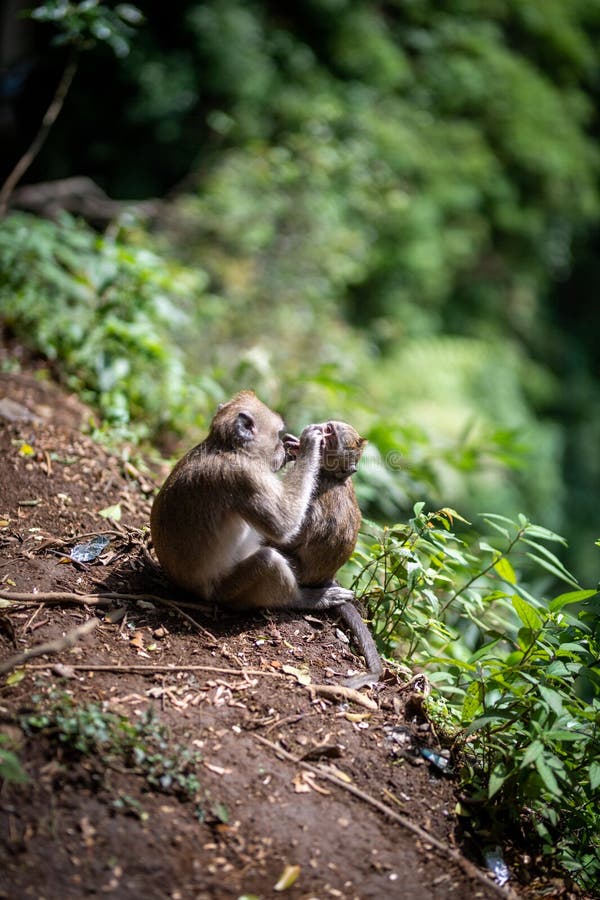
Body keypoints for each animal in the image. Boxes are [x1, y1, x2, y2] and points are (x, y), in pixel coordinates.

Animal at [150, 391, 354, 612]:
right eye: (277, 434)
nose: (283, 445)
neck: (229, 448)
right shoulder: (245, 477)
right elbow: (282, 525)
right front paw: (310, 446)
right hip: (228, 591)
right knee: (268, 561)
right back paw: (303, 600)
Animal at [277, 421, 384, 688]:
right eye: (327, 427)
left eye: (330, 435)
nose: (317, 427)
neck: (329, 474)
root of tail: (325, 579)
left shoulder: (316, 492)